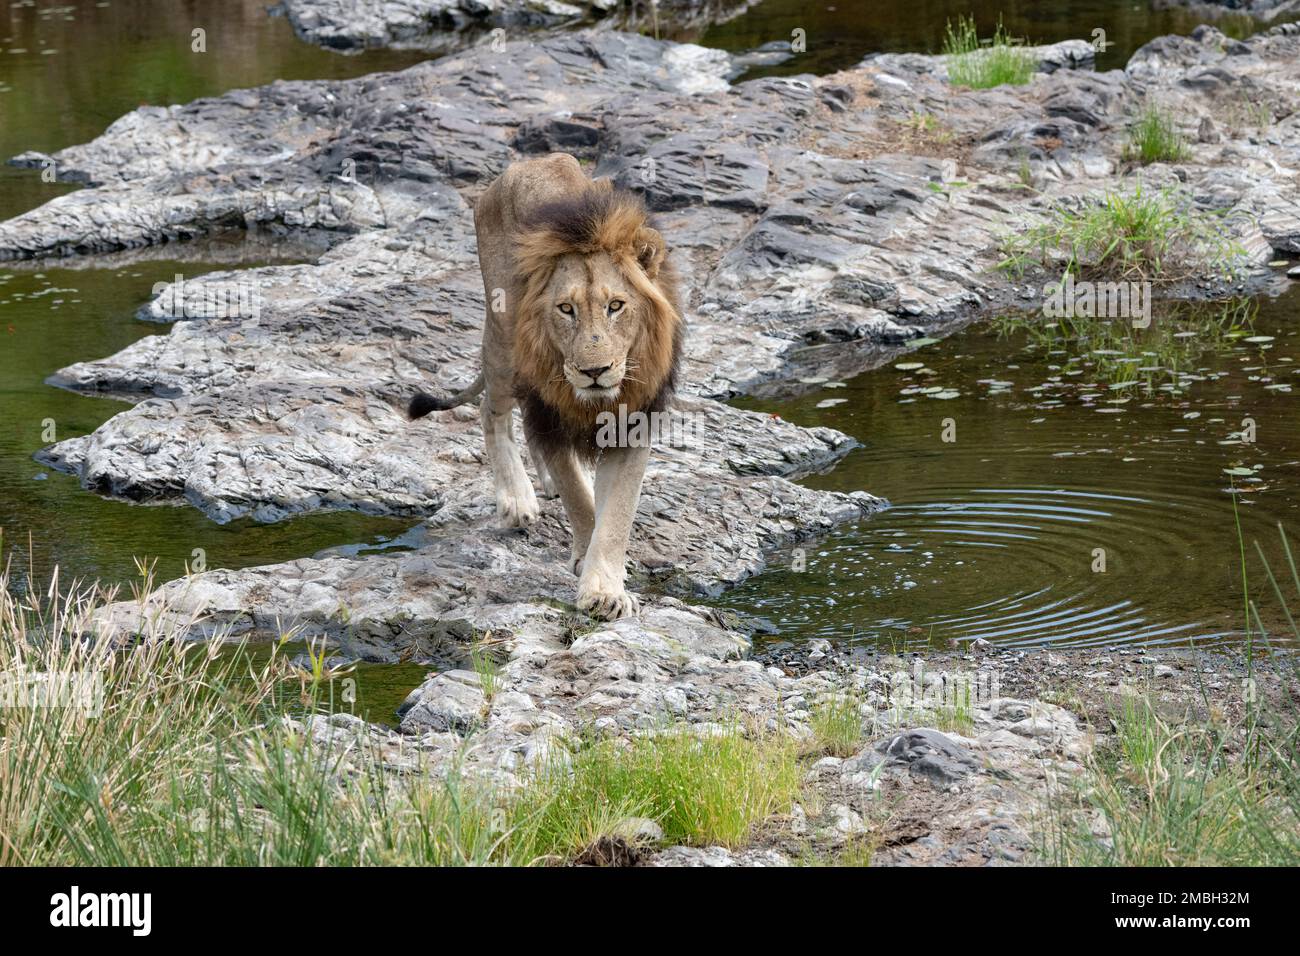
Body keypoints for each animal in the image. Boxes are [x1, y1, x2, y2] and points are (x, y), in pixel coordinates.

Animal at [408, 153, 684, 620]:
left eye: (616, 306)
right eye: (566, 309)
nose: (595, 370)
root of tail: (528, 164)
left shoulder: (633, 423)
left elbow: (616, 515)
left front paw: (606, 587)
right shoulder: (549, 414)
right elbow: (581, 501)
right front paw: (591, 575)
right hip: (503, 337)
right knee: (493, 410)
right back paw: (517, 499)